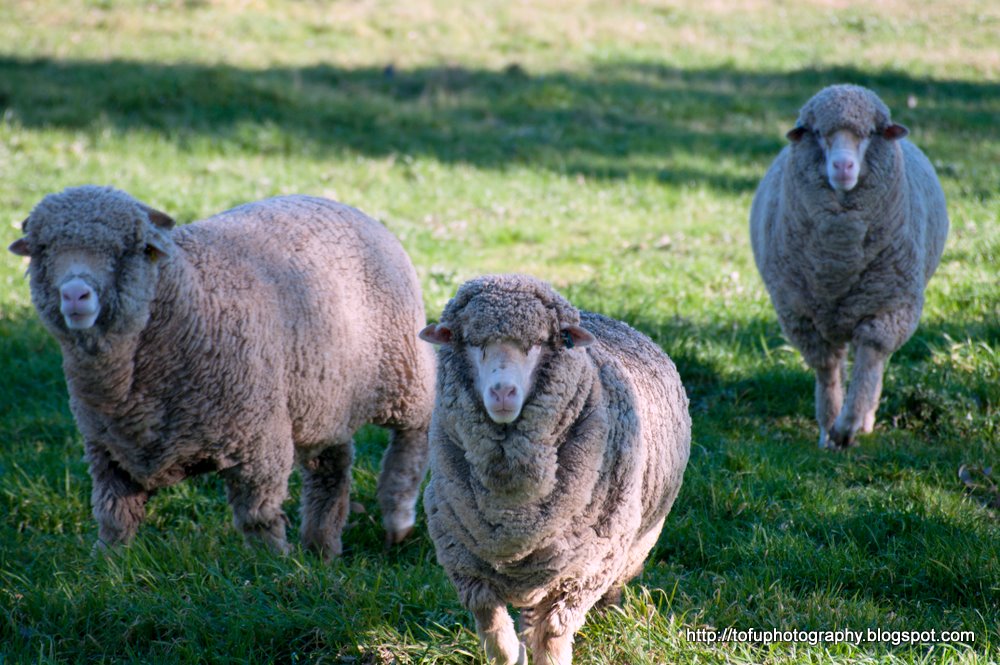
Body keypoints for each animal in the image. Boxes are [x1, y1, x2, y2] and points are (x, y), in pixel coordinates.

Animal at [7, 185, 436, 557]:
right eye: (41, 250)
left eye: (131, 249)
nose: (74, 295)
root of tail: (339, 204)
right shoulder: (108, 452)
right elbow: (114, 520)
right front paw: (109, 568)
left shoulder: (259, 440)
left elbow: (258, 518)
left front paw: (277, 566)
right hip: (323, 396)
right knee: (333, 464)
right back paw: (322, 545)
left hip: (402, 366)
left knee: (416, 430)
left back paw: (397, 514)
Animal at [418, 274, 690, 665]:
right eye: (470, 341)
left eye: (540, 342)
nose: (503, 392)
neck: (513, 514)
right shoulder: (465, 563)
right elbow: (495, 632)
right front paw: (512, 653)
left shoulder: (582, 572)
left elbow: (552, 634)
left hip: (636, 540)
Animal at [750, 84, 949, 449]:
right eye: (817, 133)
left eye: (870, 133)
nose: (843, 166)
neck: (838, 262)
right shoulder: (802, 317)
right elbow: (827, 372)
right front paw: (830, 427)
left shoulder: (887, 308)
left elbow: (869, 364)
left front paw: (848, 426)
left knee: (872, 365)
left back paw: (865, 419)